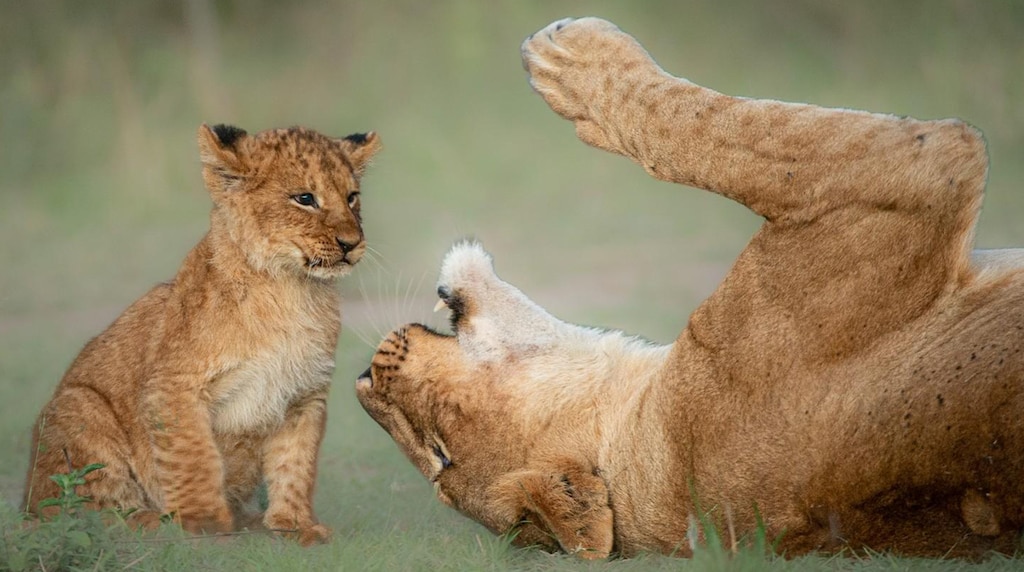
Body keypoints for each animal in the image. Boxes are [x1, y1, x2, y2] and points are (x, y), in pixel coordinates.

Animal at [24, 123, 380, 545]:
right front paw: (203, 525)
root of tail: (24, 501)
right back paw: (152, 523)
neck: (288, 290)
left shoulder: (304, 396)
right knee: (81, 516)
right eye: (305, 198)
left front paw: (294, 526)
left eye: (352, 197)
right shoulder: (174, 384)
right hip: (79, 405)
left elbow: (295, 465)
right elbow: (195, 458)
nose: (352, 243)